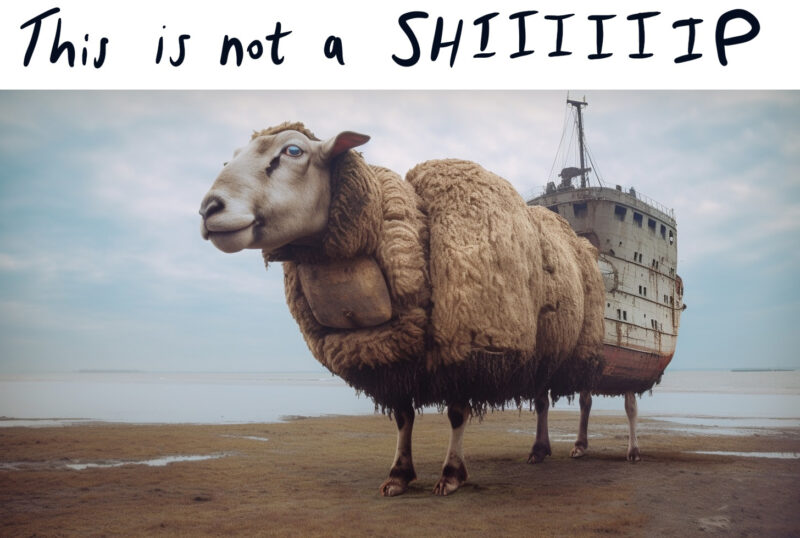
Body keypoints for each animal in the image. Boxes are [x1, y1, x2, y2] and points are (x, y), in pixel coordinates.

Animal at [199, 122, 605, 496]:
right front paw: (398, 476)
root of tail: (582, 244)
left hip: (587, 348)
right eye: (230, 157)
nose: (207, 209)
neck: (415, 239)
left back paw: (578, 446)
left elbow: (456, 413)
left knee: (584, 398)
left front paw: (451, 475)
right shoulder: (388, 356)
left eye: (293, 151)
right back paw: (539, 450)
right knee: (541, 399)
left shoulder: (464, 348)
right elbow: (402, 416)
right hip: (546, 353)